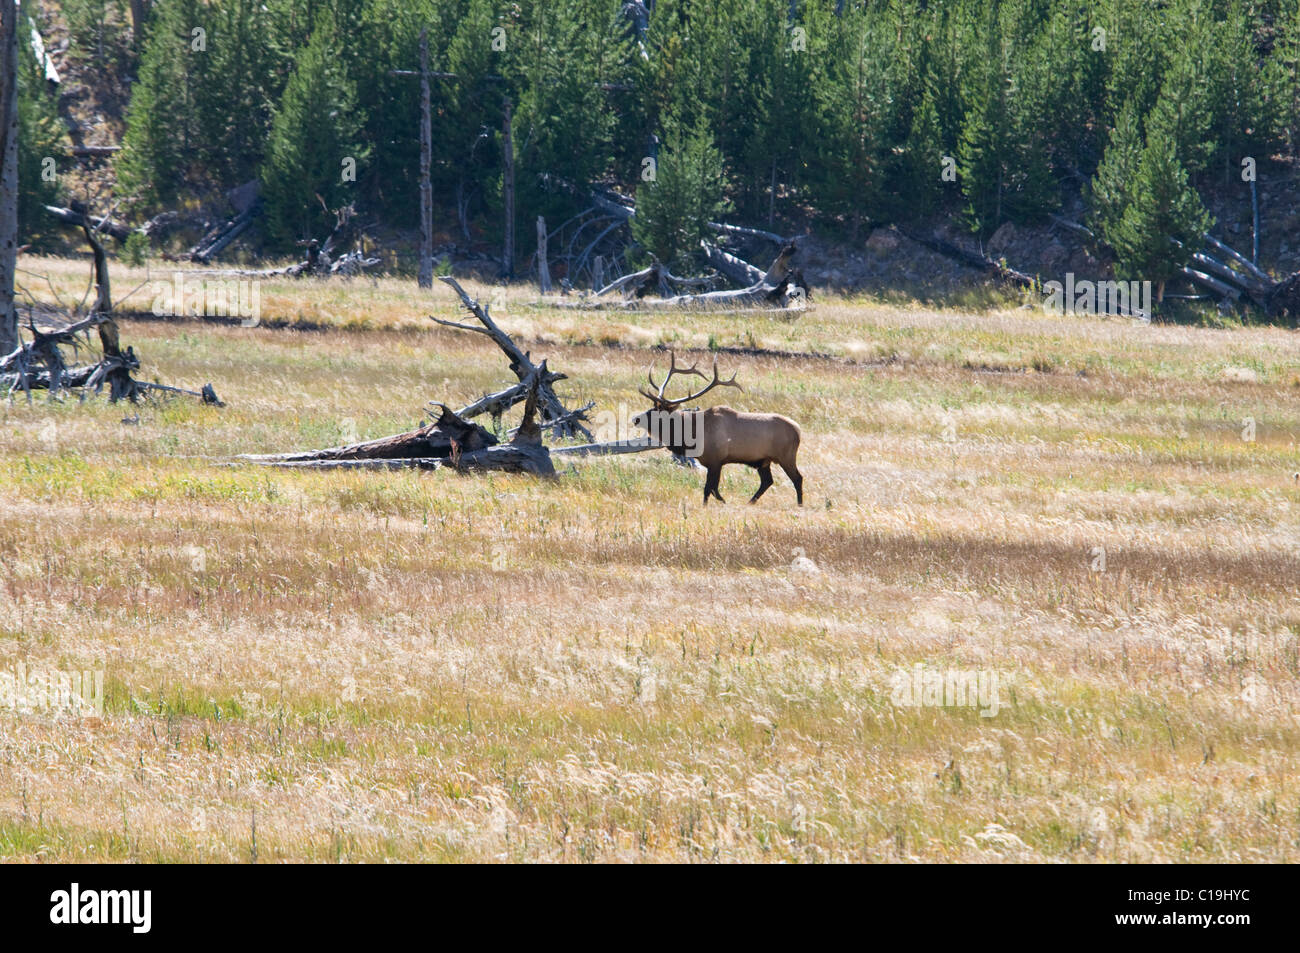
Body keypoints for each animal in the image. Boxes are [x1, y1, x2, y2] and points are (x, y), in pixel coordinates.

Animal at [632, 351, 803, 506]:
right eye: (652, 407)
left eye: (658, 411)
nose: (635, 418)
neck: (690, 435)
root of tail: (798, 430)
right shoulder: (713, 462)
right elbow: (713, 489)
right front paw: (723, 502)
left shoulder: (716, 460)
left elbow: (709, 488)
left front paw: (711, 504)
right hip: (764, 461)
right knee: (767, 481)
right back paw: (750, 502)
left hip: (786, 456)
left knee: (797, 478)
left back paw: (799, 504)